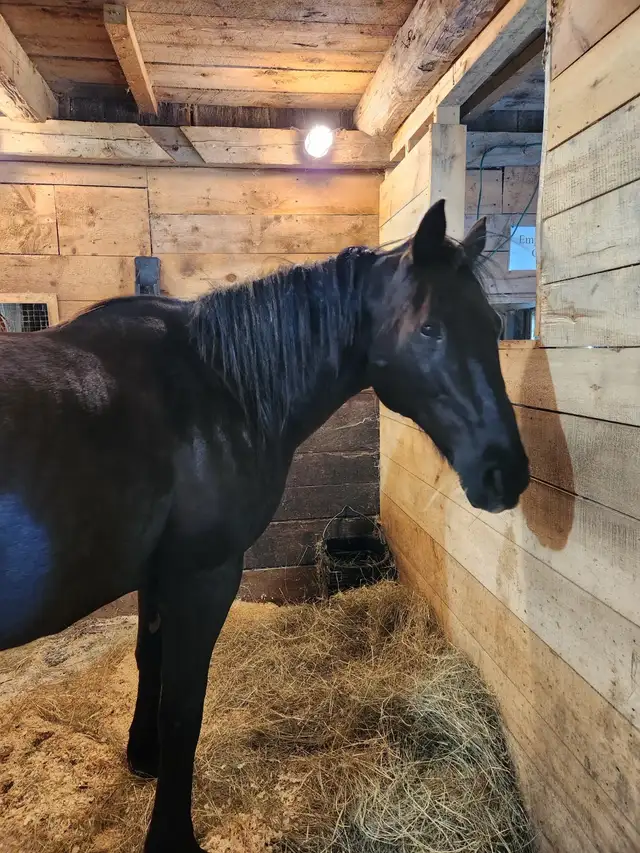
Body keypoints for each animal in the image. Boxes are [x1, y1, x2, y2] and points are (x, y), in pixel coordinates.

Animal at [0, 200, 530, 852]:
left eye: (493, 324)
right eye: (431, 329)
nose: (506, 472)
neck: (219, 387)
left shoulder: (160, 572)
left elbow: (150, 661)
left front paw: (143, 759)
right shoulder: (204, 576)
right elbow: (184, 709)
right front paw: (172, 836)